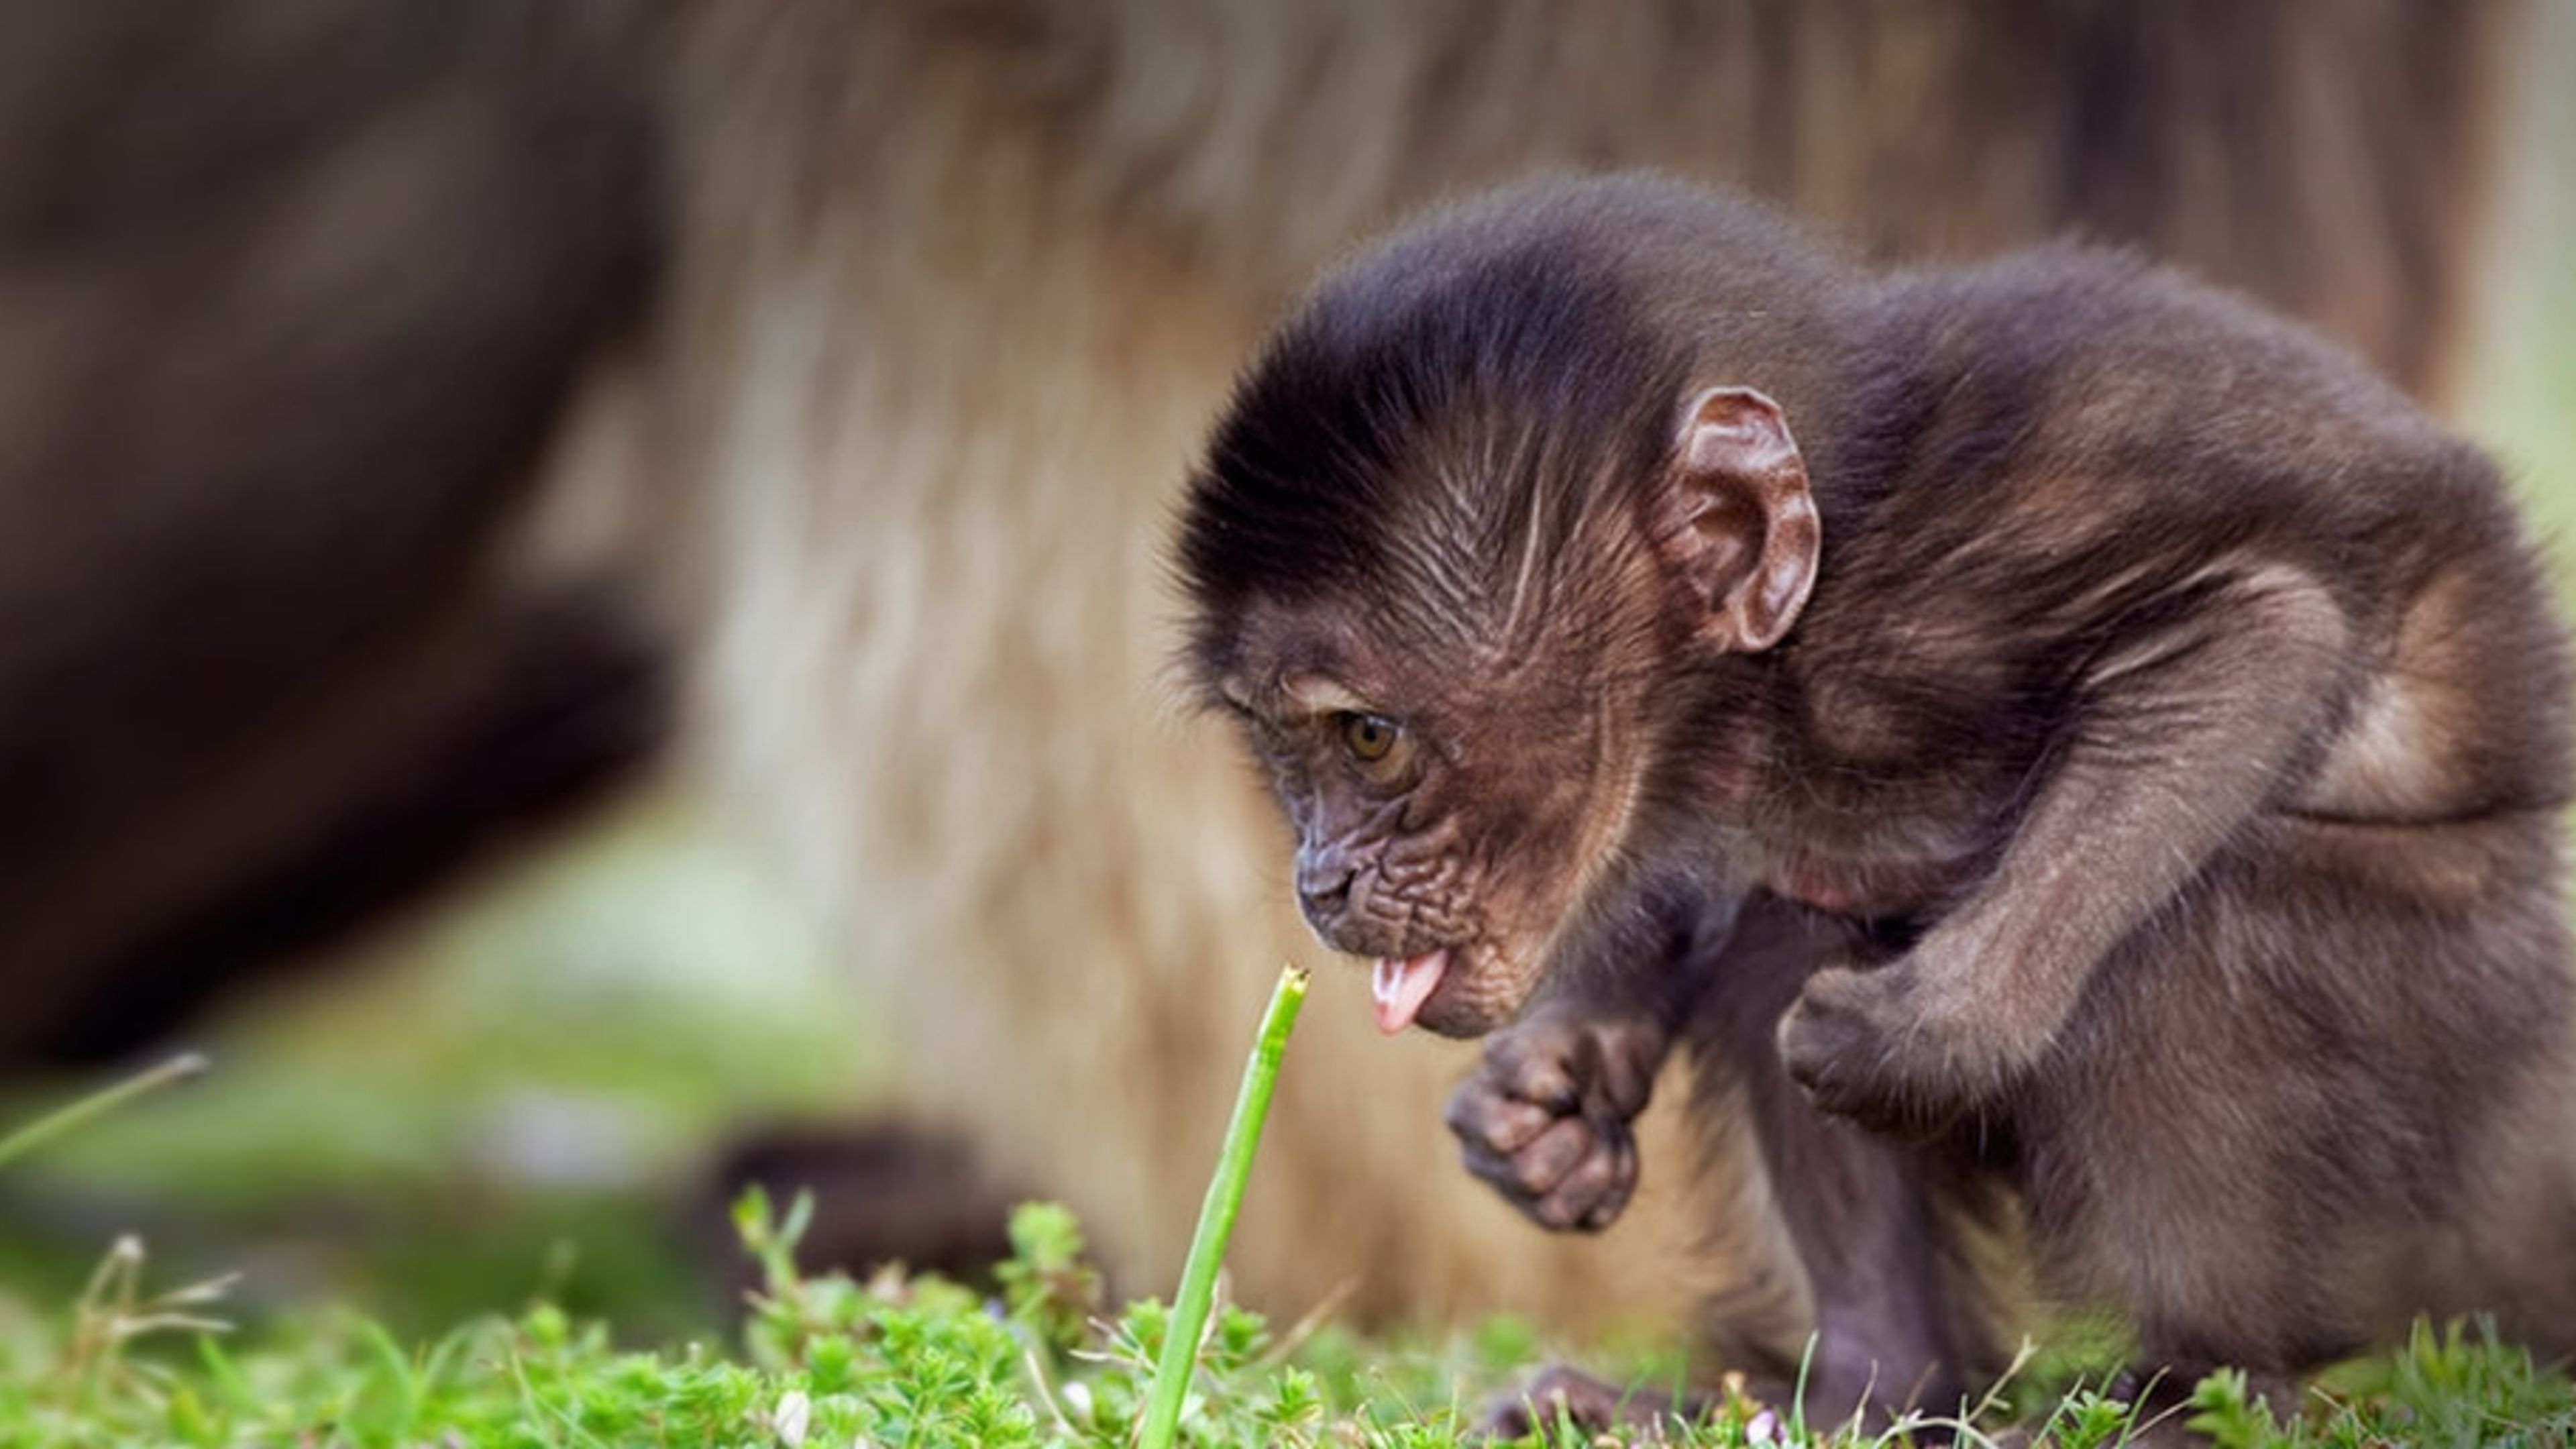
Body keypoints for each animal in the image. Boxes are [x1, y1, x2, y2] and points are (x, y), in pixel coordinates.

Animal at [1173, 172, 2576, 1432]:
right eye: (1283, 752)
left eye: (1370, 739)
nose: (1322, 879)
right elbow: (1714, 891)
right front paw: (1558, 1086)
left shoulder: (1940, 604)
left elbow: (2256, 631)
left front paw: (1933, 1030)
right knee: (1785, 930)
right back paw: (1869, 1391)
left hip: (2466, 1001)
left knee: (2178, 946)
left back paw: (2203, 1395)